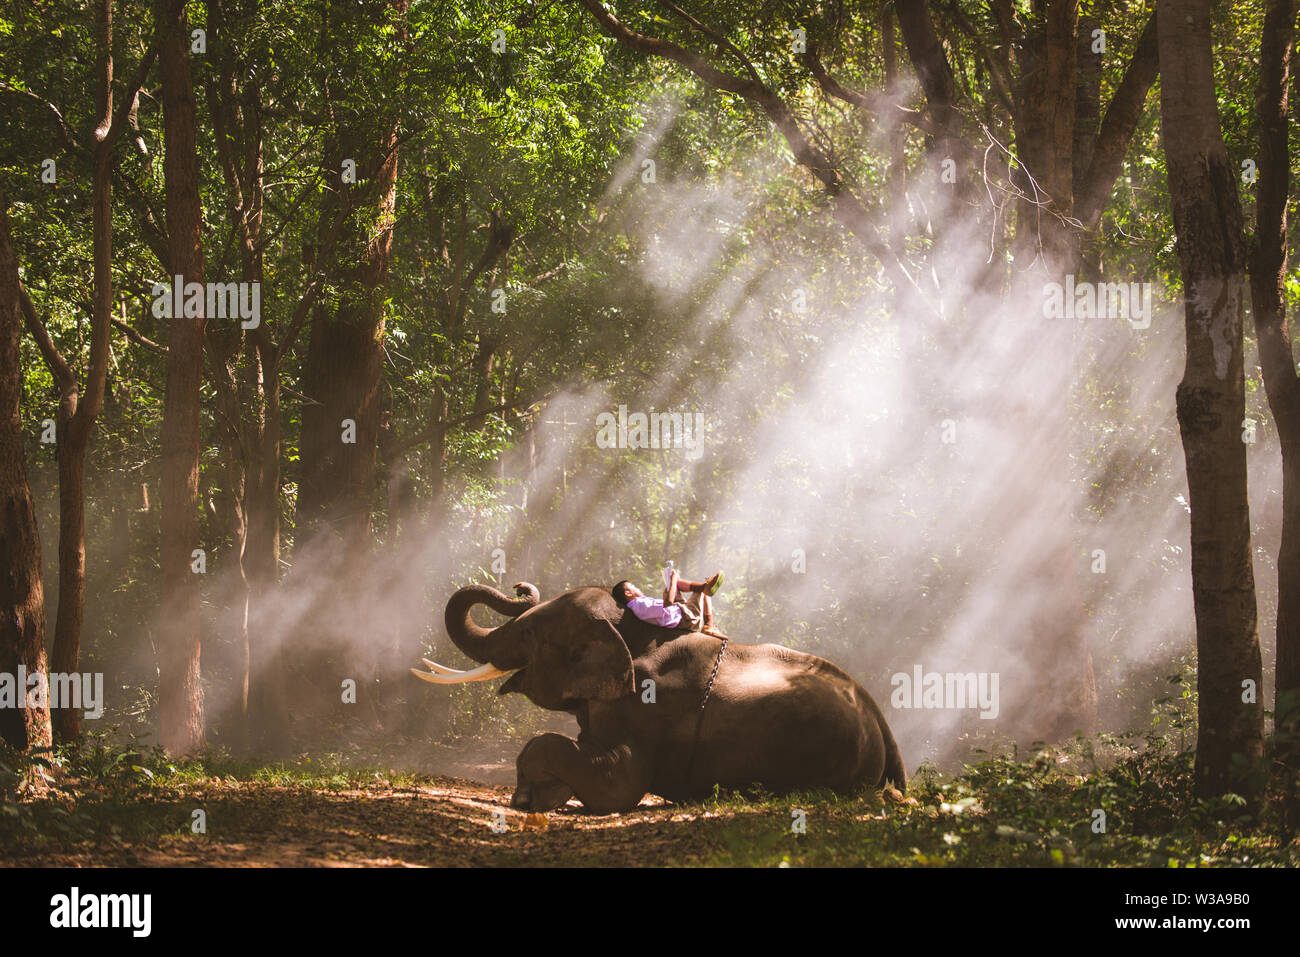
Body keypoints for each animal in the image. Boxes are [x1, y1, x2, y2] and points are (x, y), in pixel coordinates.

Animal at [412, 582, 906, 814]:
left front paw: (531, 800)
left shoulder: (647, 707)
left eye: (531, 633)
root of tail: (879, 718)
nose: (519, 588)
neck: (626, 628)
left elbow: (621, 784)